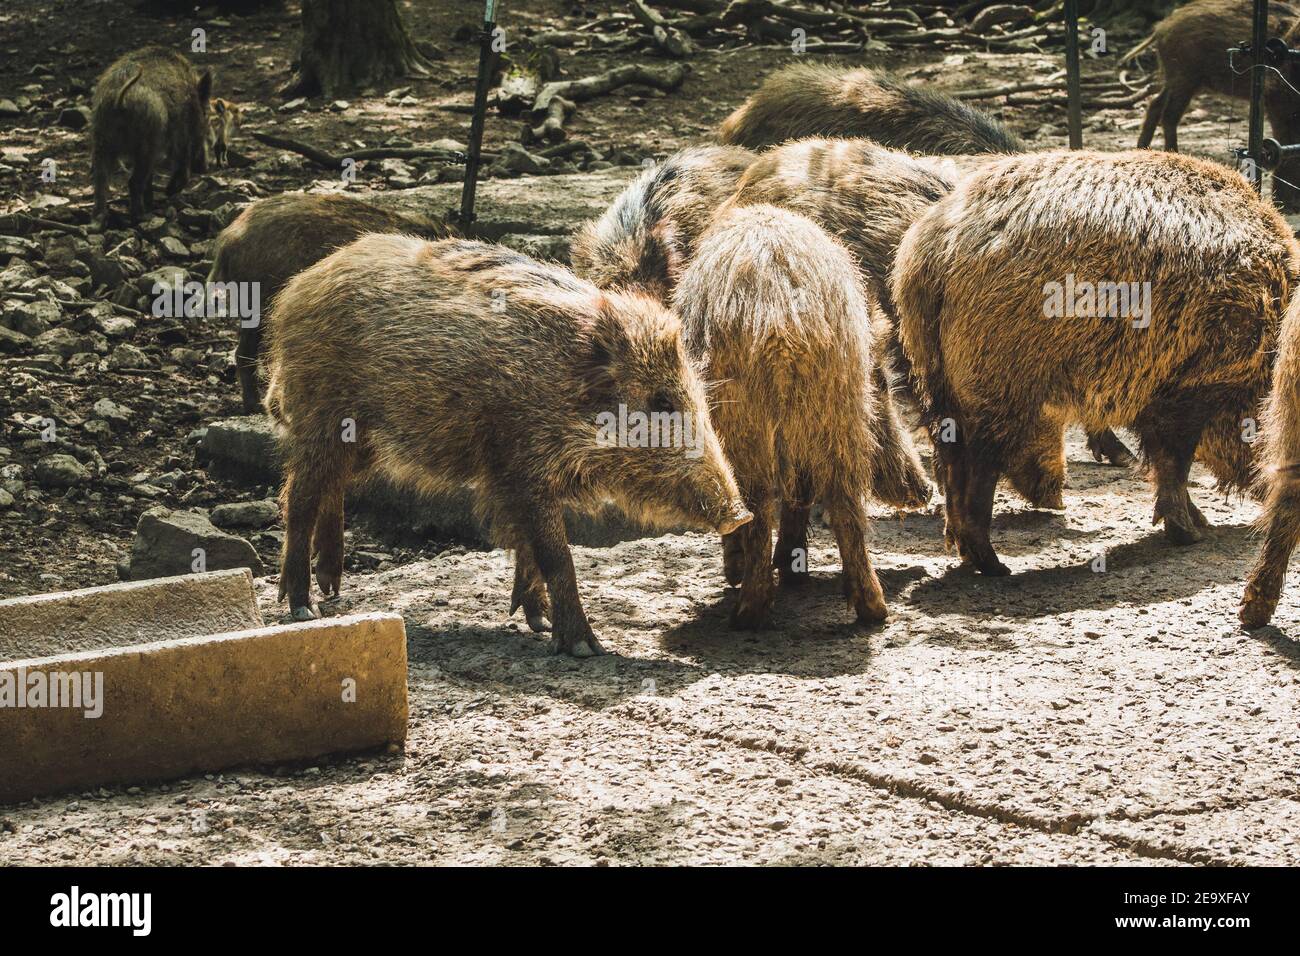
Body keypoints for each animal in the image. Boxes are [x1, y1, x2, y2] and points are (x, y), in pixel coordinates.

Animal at [91, 46, 213, 227]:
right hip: (148, 143)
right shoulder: (182, 136)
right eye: (206, 115)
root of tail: (120, 99)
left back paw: (98, 221)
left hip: (102, 140)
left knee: (101, 180)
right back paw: (142, 217)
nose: (205, 167)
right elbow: (183, 169)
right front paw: (168, 192)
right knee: (134, 182)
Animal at [263, 235, 752, 656]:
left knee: (331, 487)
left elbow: (529, 548)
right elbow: (556, 554)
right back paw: (302, 608)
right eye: (660, 402)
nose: (740, 514)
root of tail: (299, 287)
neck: (561, 387)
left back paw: (332, 588)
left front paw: (536, 622)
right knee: (298, 496)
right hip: (322, 417)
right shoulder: (521, 469)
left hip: (362, 440)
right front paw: (583, 647)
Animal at [673, 205, 892, 626]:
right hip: (838, 403)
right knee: (845, 498)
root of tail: (779, 315)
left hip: (744, 416)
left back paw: (749, 608)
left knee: (754, 502)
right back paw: (872, 608)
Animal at [893, 149, 1298, 575]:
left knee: (950, 458)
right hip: (996, 389)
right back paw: (995, 566)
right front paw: (1190, 535)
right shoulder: (1189, 385)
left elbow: (1161, 461)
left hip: (940, 386)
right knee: (979, 465)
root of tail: (933, 248)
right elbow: (1174, 460)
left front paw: (1196, 524)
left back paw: (966, 554)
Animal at [1127, 0, 1297, 153]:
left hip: (1181, 78)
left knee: (1155, 104)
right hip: (1184, 76)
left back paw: (1142, 149)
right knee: (1168, 114)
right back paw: (1173, 152)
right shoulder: (1277, 97)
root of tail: (1162, 26)